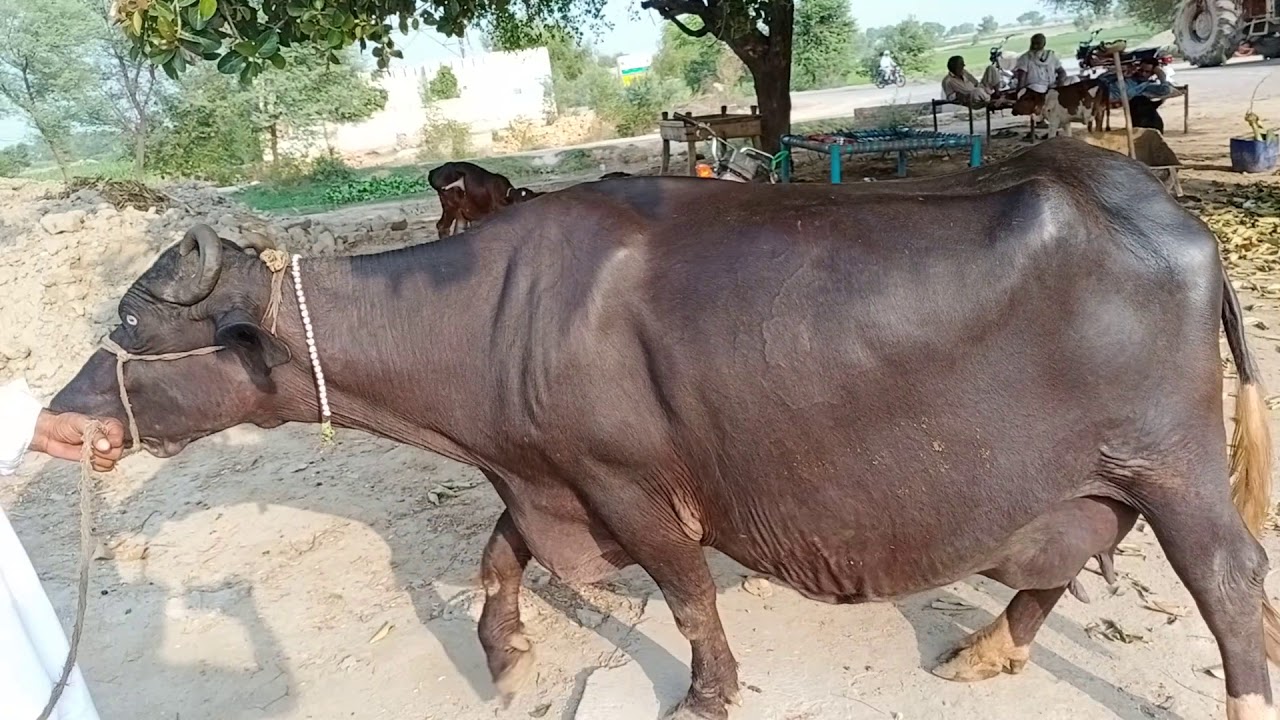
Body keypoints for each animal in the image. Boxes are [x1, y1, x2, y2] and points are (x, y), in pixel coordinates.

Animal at [52, 137, 1278, 720]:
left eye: (133, 324)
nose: (58, 430)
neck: (496, 318)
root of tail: (1173, 221)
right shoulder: (543, 474)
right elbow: (498, 555)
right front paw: (505, 659)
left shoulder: (629, 484)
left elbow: (686, 594)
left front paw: (707, 691)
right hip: (1091, 476)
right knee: (1062, 557)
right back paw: (985, 649)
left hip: (1172, 465)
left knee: (1228, 582)